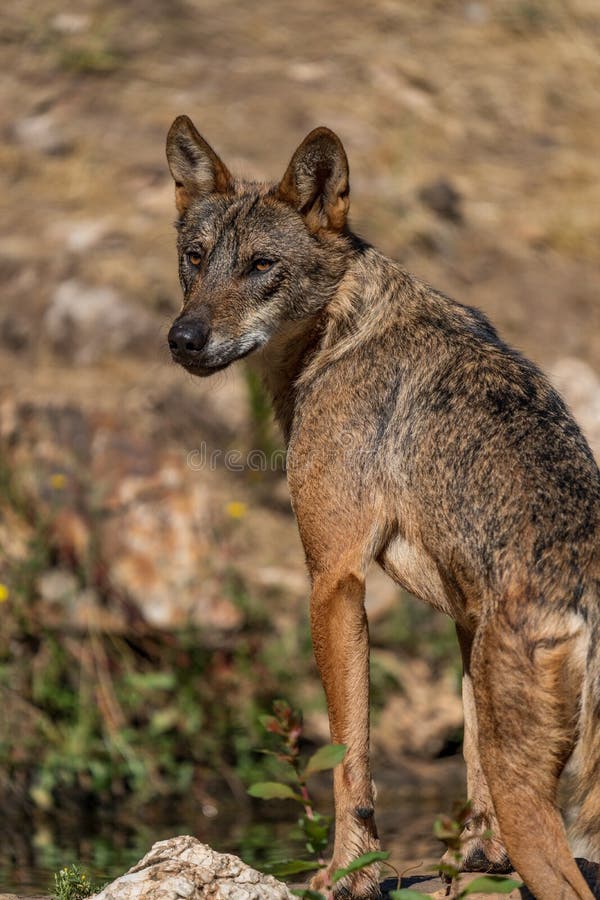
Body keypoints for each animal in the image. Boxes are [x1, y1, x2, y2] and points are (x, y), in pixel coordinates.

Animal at [165, 115, 600, 899]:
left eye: (261, 266)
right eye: (195, 258)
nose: (182, 339)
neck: (341, 332)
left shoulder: (333, 577)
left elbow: (348, 757)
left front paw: (349, 872)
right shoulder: (464, 617)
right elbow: (466, 759)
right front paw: (475, 859)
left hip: (537, 801)